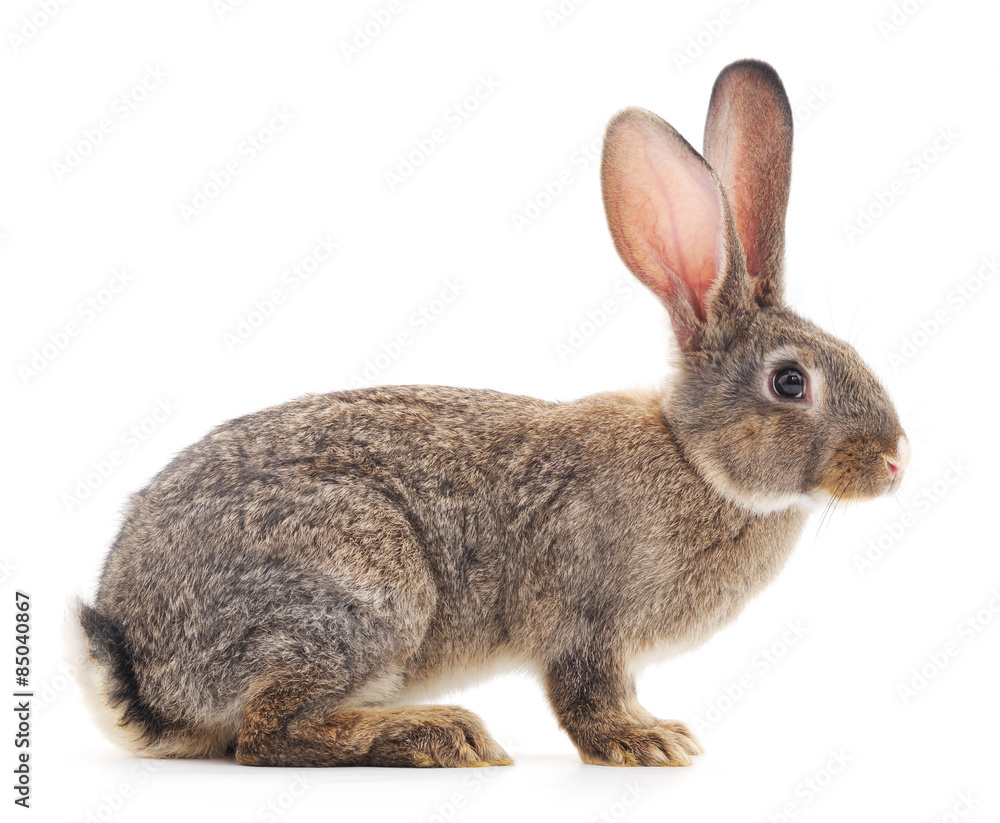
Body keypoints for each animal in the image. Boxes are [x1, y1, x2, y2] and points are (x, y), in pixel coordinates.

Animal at [72, 58, 908, 768]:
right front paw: (647, 742)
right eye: (791, 382)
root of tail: (144, 670)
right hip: (360, 591)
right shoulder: (585, 622)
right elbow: (586, 696)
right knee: (267, 733)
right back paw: (438, 734)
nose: (896, 461)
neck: (694, 459)